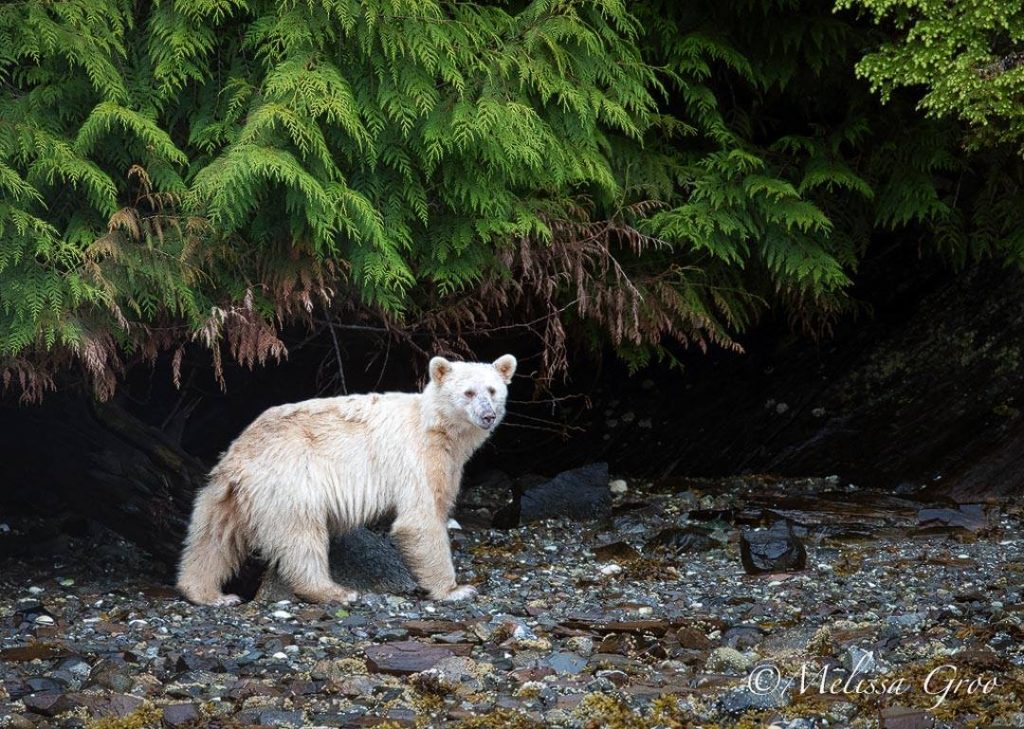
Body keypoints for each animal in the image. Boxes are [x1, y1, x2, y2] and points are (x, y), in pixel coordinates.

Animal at [176, 354, 517, 606]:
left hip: (226, 491)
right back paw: (333, 590)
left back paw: (208, 593)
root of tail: (241, 455)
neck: (436, 427)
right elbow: (420, 520)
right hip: (291, 479)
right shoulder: (417, 458)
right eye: (468, 392)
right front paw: (455, 589)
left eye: (492, 390)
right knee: (301, 535)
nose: (487, 415)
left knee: (213, 536)